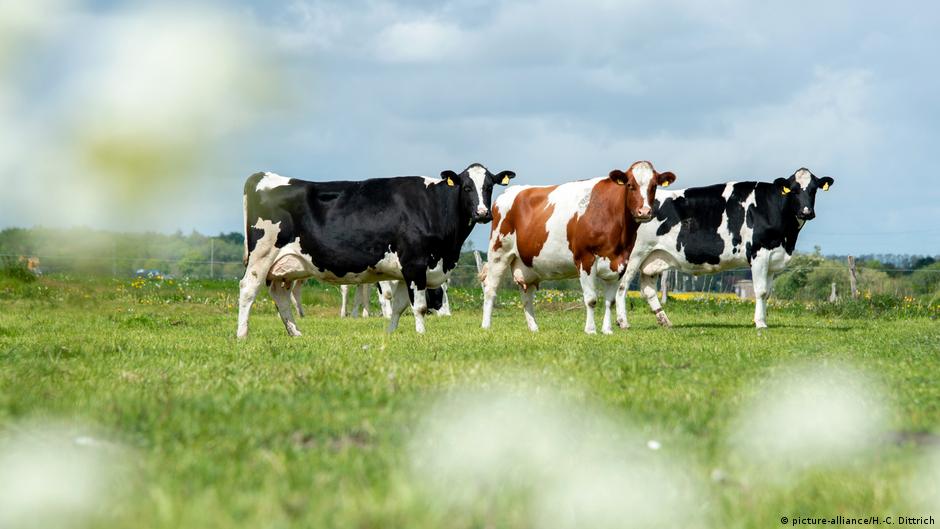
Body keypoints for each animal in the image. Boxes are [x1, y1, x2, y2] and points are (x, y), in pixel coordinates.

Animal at [238, 164, 515, 338]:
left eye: (489, 186)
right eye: (466, 187)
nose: (483, 213)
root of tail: (264, 176)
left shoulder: (406, 270)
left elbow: (400, 306)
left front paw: (390, 334)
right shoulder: (415, 263)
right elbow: (418, 306)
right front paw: (421, 334)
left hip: (284, 268)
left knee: (280, 296)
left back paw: (295, 332)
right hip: (261, 256)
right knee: (248, 290)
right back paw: (242, 335)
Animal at [481, 161, 676, 334]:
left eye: (654, 186)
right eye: (630, 185)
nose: (644, 211)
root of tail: (511, 191)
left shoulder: (620, 262)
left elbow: (610, 301)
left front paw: (607, 330)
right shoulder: (585, 258)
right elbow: (591, 299)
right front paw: (590, 330)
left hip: (525, 262)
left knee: (526, 294)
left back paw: (533, 328)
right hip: (499, 252)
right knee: (490, 289)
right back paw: (486, 325)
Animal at [619, 167, 834, 329]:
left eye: (813, 190)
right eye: (794, 190)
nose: (806, 212)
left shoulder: (773, 258)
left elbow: (768, 293)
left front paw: (763, 320)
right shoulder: (758, 254)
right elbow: (760, 291)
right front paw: (760, 323)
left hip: (652, 258)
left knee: (647, 290)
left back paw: (665, 321)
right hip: (633, 256)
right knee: (622, 287)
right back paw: (623, 322)